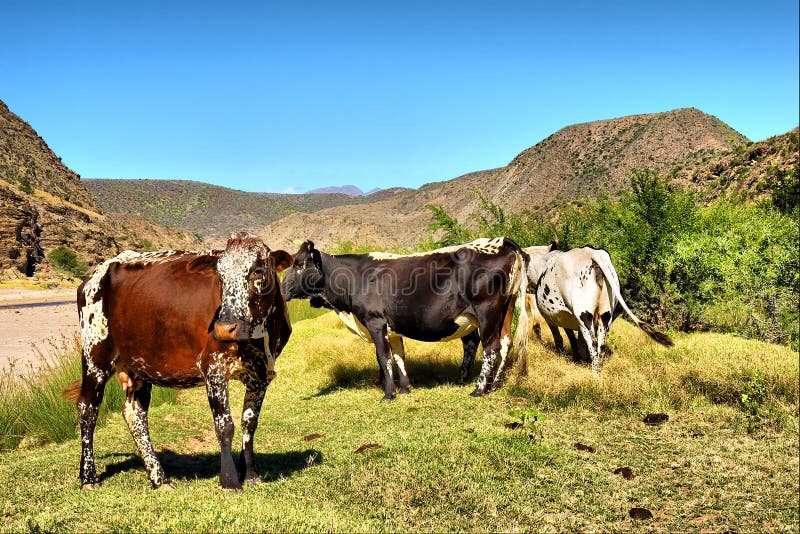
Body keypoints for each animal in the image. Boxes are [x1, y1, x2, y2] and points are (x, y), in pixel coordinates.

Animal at [61, 232, 293, 491]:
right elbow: (225, 425)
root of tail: (96, 273)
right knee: (88, 408)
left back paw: (159, 478)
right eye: (220, 276)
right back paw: (88, 478)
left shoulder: (261, 375)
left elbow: (249, 423)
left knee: (134, 414)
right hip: (95, 356)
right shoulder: (212, 367)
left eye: (258, 271)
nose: (225, 327)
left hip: (139, 365)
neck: (259, 339)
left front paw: (251, 474)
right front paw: (230, 481)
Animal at [281, 237, 530, 400]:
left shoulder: (375, 322)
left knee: (490, 347)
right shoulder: (393, 328)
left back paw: (479, 389)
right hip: (505, 310)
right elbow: (399, 356)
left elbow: (383, 357)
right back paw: (493, 384)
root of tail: (499, 242)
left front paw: (388, 394)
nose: (282, 288)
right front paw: (405, 388)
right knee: (505, 342)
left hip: (487, 311)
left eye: (300, 264)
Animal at [526, 246, 673, 373]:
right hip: (604, 316)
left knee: (593, 344)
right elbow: (579, 342)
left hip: (583, 315)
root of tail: (591, 252)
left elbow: (563, 338)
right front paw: (581, 360)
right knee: (600, 346)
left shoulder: (555, 317)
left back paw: (594, 377)